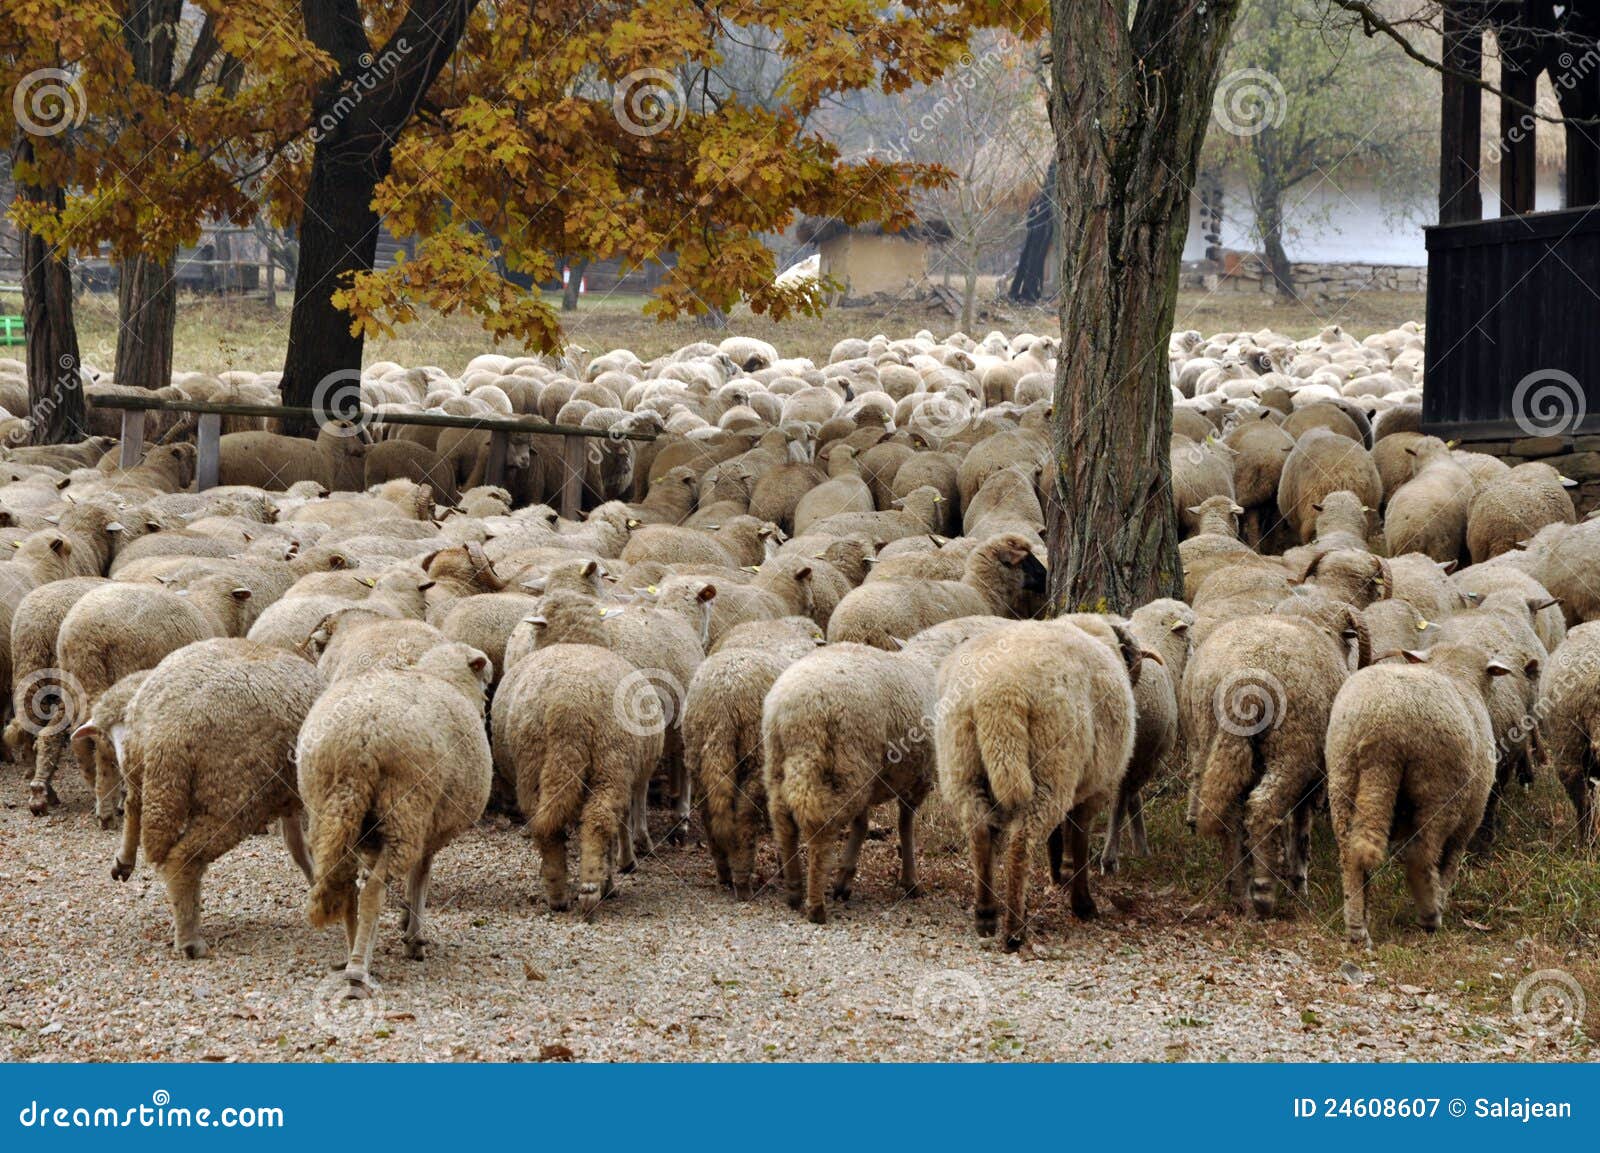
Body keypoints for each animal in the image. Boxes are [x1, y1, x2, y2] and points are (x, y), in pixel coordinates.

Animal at [105, 639, 323, 958]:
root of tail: (167, 737)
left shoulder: (287, 795)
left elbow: (297, 845)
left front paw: (314, 879)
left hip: (138, 760)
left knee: (134, 805)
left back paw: (125, 860)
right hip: (231, 798)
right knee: (185, 858)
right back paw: (189, 939)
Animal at [299, 641, 493, 990]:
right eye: (486, 682)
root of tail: (359, 740)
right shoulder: (429, 829)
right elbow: (421, 876)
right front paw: (414, 937)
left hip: (331, 811)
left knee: (349, 889)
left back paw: (354, 951)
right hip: (405, 811)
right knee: (373, 891)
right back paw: (358, 971)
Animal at [934, 617, 1143, 948]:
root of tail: (998, 692)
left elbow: (1059, 836)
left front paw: (1058, 874)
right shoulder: (1096, 787)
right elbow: (1080, 837)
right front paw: (1082, 903)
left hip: (962, 766)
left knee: (980, 832)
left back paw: (986, 914)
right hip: (1050, 770)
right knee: (1022, 840)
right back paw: (1014, 930)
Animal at [1326, 641, 1505, 944]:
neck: (1453, 670)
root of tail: (1384, 728)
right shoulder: (1470, 818)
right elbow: (1450, 862)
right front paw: (1441, 898)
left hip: (1343, 775)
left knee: (1349, 854)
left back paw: (1357, 927)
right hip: (1439, 787)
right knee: (1421, 855)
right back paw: (1430, 916)